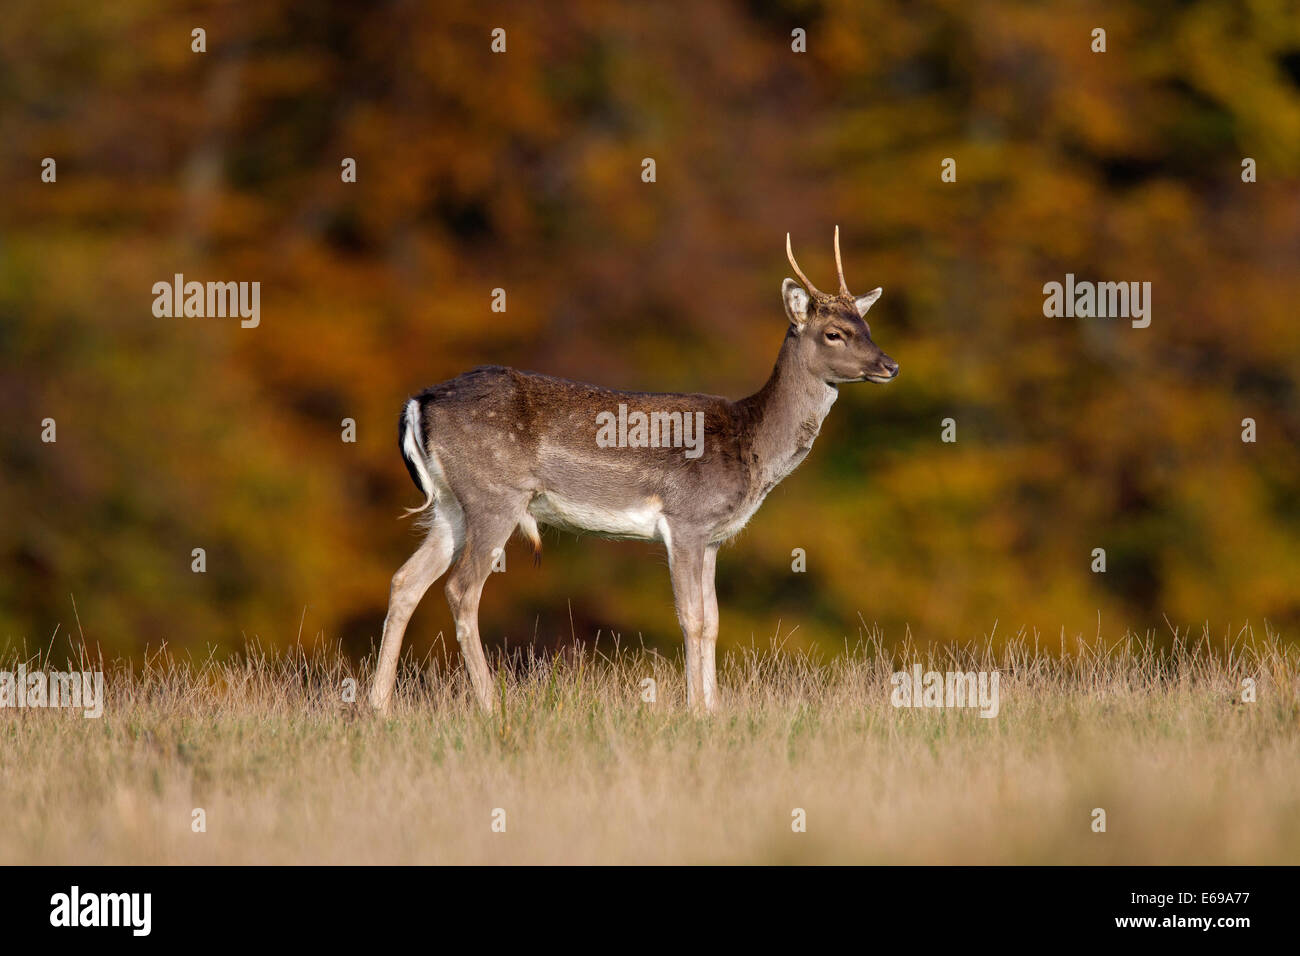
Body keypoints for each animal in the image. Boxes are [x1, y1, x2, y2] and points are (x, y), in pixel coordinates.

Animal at [369, 228, 898, 714]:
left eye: (867, 325)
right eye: (834, 332)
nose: (889, 365)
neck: (753, 447)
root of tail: (417, 404)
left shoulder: (713, 537)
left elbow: (714, 621)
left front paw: (714, 709)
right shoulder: (686, 519)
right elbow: (692, 618)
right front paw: (696, 710)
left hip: (451, 505)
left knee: (405, 580)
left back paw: (378, 706)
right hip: (494, 496)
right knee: (461, 590)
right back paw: (491, 706)